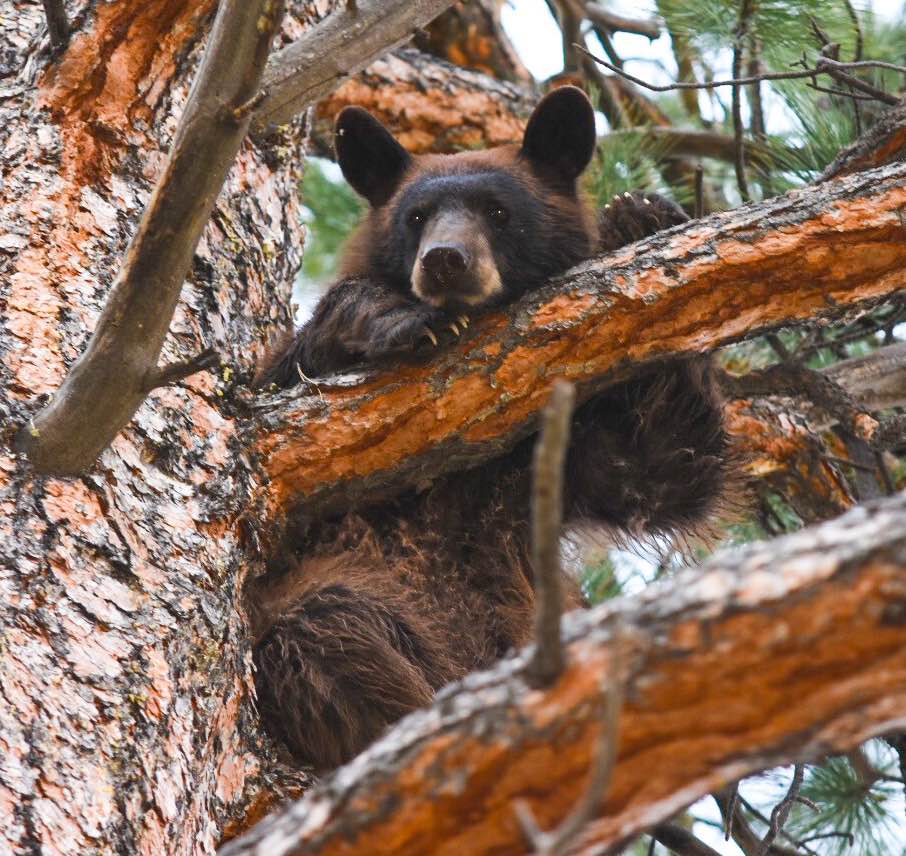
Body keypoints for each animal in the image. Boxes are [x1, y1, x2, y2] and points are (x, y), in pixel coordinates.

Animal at [250, 86, 734, 772]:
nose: (445, 261)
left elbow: (662, 469)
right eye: (417, 215)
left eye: (499, 211)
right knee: (326, 632)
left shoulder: (542, 461)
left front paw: (640, 218)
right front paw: (400, 319)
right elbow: (286, 374)